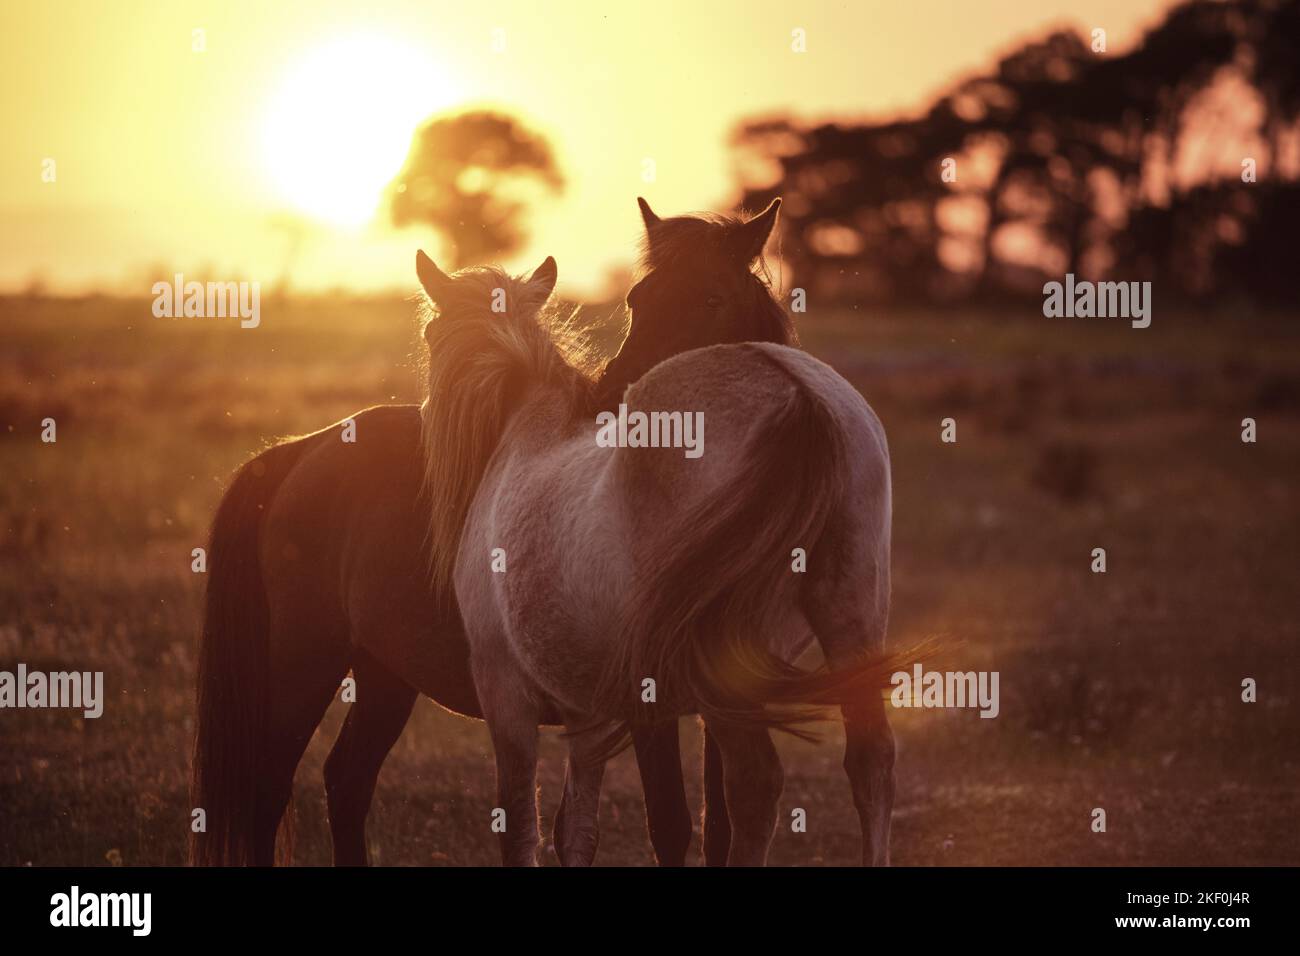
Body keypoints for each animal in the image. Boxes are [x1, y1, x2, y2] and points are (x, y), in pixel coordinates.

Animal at [189, 197, 792, 866]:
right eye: (637, 299)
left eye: (713, 298)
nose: (617, 399)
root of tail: (299, 451)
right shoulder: (643, 705)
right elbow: (671, 824)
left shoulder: (725, 702)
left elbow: (720, 826)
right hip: (304, 660)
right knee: (271, 792)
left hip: (384, 672)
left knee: (346, 781)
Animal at [435, 237, 903, 866]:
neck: (525, 429)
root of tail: (794, 391)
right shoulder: (590, 713)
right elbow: (577, 828)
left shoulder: (509, 693)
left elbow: (530, 827)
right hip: (848, 624)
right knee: (870, 763)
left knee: (756, 782)